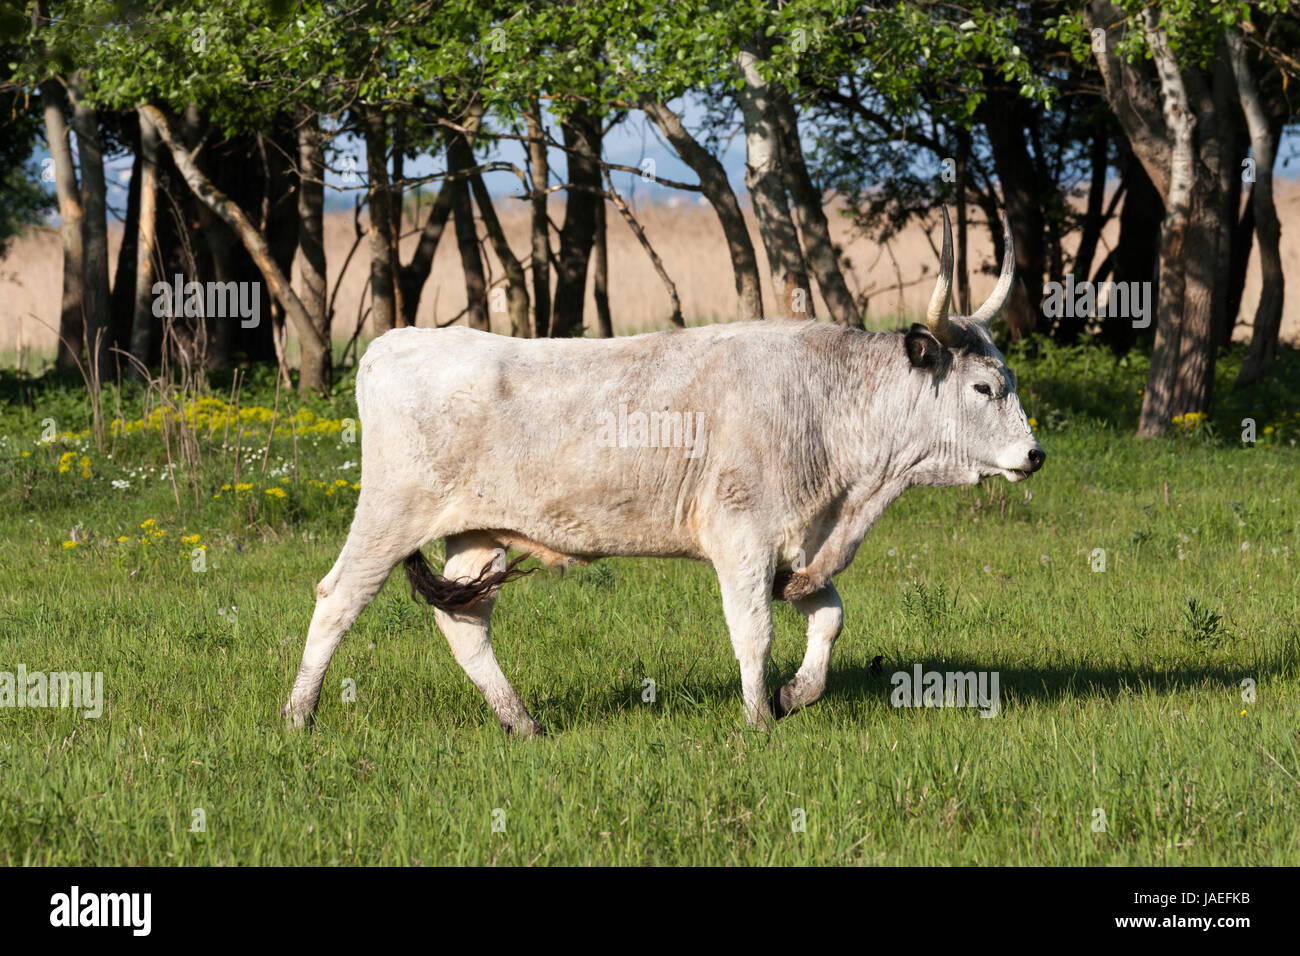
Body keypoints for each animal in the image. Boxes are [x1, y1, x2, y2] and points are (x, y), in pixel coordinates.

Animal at [283, 207, 1044, 736]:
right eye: (984, 388)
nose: (1034, 455)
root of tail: (393, 341)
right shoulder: (743, 541)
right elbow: (754, 634)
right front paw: (759, 720)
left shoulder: (800, 549)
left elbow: (829, 620)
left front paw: (794, 695)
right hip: (390, 515)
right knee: (335, 600)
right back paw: (298, 717)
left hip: (476, 532)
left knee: (465, 625)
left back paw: (522, 723)